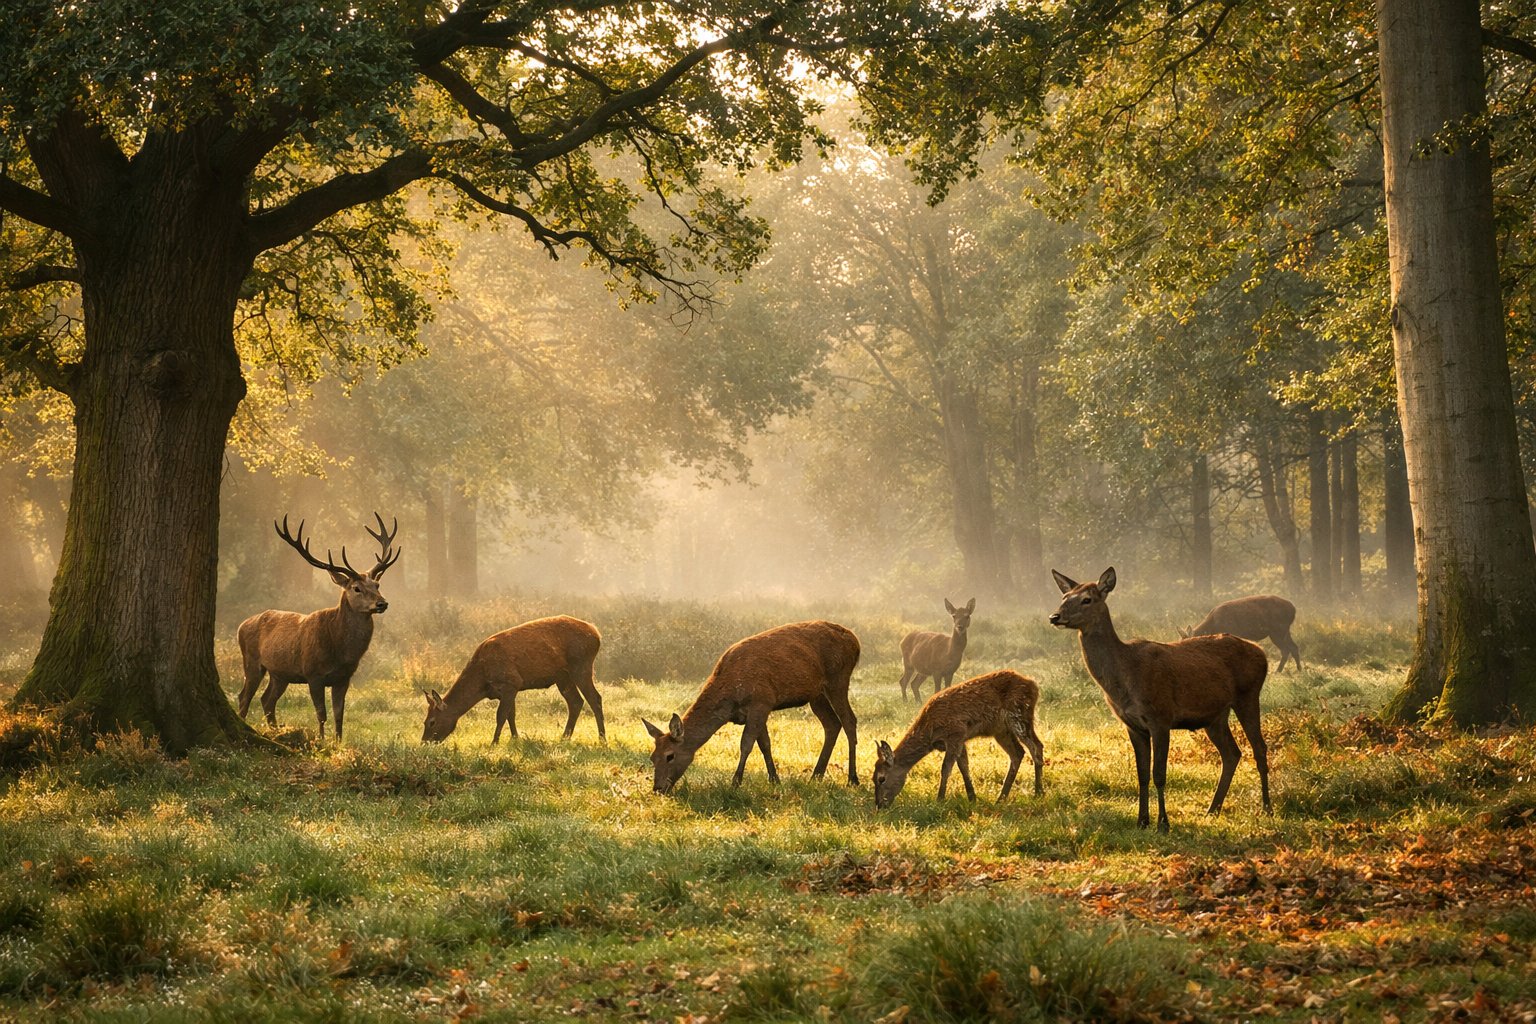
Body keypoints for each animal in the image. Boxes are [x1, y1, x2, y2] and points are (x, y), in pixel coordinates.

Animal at [236, 513, 401, 741]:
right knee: (244, 696)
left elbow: (339, 715)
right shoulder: (313, 673)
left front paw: (338, 743)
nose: (382, 603)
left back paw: (276, 731)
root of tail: (241, 624)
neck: (340, 652)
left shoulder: (344, 678)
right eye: (356, 588)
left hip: (280, 673)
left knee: (266, 699)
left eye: (377, 585)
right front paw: (321, 741)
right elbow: (321, 713)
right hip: (252, 660)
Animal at [421, 616, 604, 744]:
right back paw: (565, 737)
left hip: (581, 664)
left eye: (431, 722)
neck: (482, 682)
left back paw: (602, 739)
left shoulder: (511, 681)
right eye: (424, 722)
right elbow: (511, 714)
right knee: (576, 702)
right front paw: (515, 738)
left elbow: (501, 715)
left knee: (595, 698)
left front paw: (494, 742)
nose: (424, 743)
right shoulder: (506, 690)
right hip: (562, 676)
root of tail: (596, 633)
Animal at [643, 620, 860, 795]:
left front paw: (735, 783)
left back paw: (852, 778)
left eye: (670, 756)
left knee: (849, 721)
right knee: (832, 724)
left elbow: (746, 743)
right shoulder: (757, 710)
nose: (658, 788)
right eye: (652, 757)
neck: (730, 700)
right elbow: (764, 744)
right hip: (816, 694)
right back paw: (816, 775)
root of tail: (855, 641)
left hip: (838, 678)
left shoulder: (761, 701)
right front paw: (775, 780)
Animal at [873, 669, 1045, 809]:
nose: (879, 804)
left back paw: (1038, 792)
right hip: (1001, 730)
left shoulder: (955, 733)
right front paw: (972, 798)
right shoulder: (961, 740)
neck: (930, 731)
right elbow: (964, 767)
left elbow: (946, 768)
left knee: (1036, 746)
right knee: (1018, 753)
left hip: (1019, 714)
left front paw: (940, 799)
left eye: (881, 778)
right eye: (873, 778)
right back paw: (1001, 799)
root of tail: (1034, 685)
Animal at [1050, 567, 1271, 833]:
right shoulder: (1132, 725)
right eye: (1064, 597)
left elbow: (1159, 773)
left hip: (1248, 695)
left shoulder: (1161, 717)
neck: (1124, 678)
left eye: (1087, 599)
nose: (1055, 616)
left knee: (1259, 748)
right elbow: (1142, 774)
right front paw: (1141, 821)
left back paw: (1267, 808)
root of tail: (1262, 653)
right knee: (1232, 753)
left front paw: (1163, 823)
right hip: (1215, 716)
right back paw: (1212, 810)